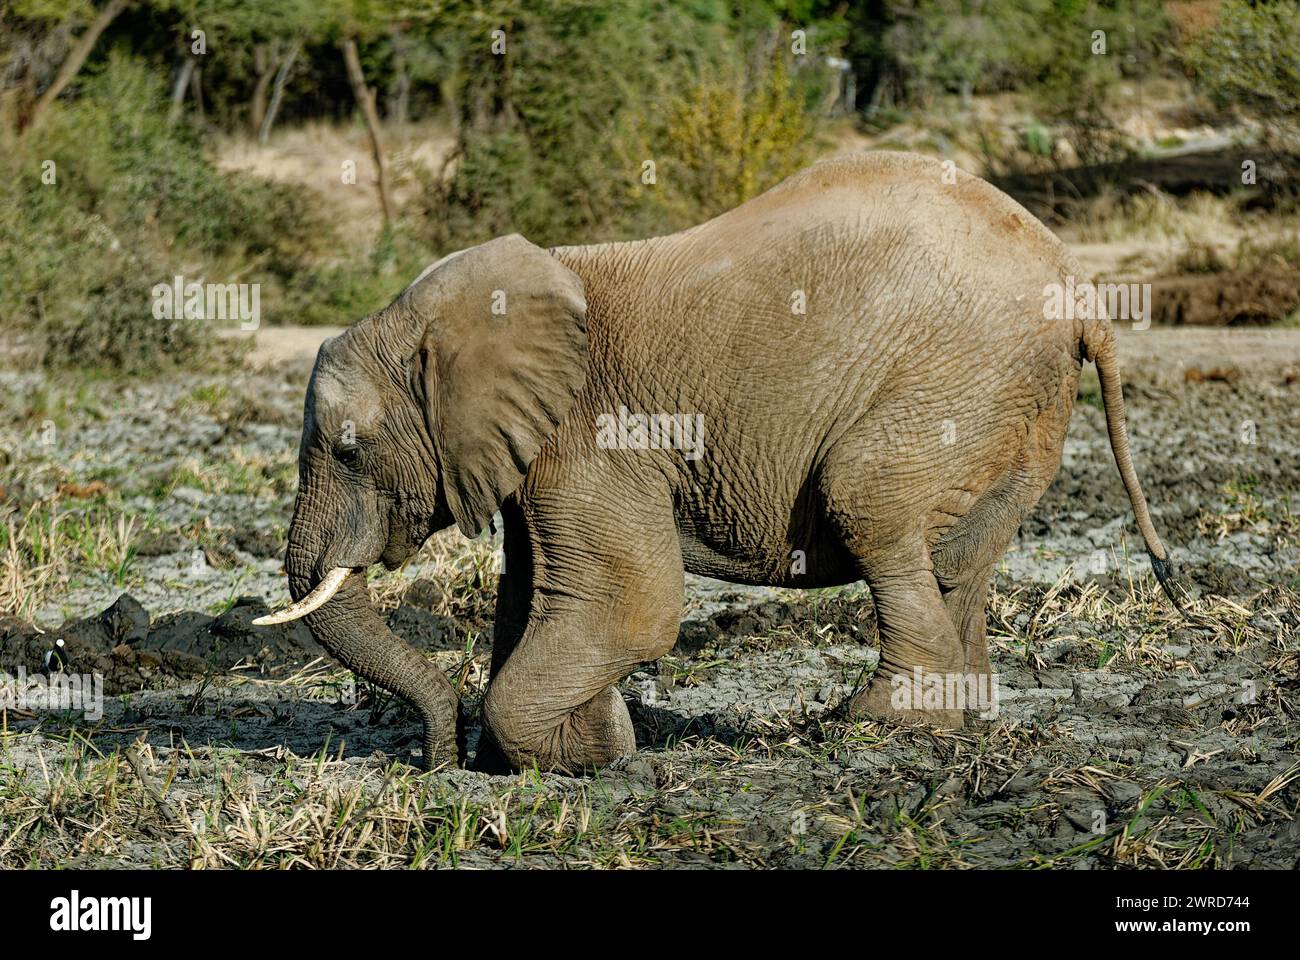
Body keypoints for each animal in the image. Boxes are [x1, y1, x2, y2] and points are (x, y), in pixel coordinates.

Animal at [255, 151, 1182, 772]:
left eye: (347, 447)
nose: (433, 761)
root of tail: (1081, 291)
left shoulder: (596, 435)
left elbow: (633, 605)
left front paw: (582, 754)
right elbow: (530, 590)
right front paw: (574, 746)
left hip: (956, 380)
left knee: (869, 506)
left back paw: (872, 727)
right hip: (1015, 405)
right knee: (958, 560)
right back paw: (963, 722)